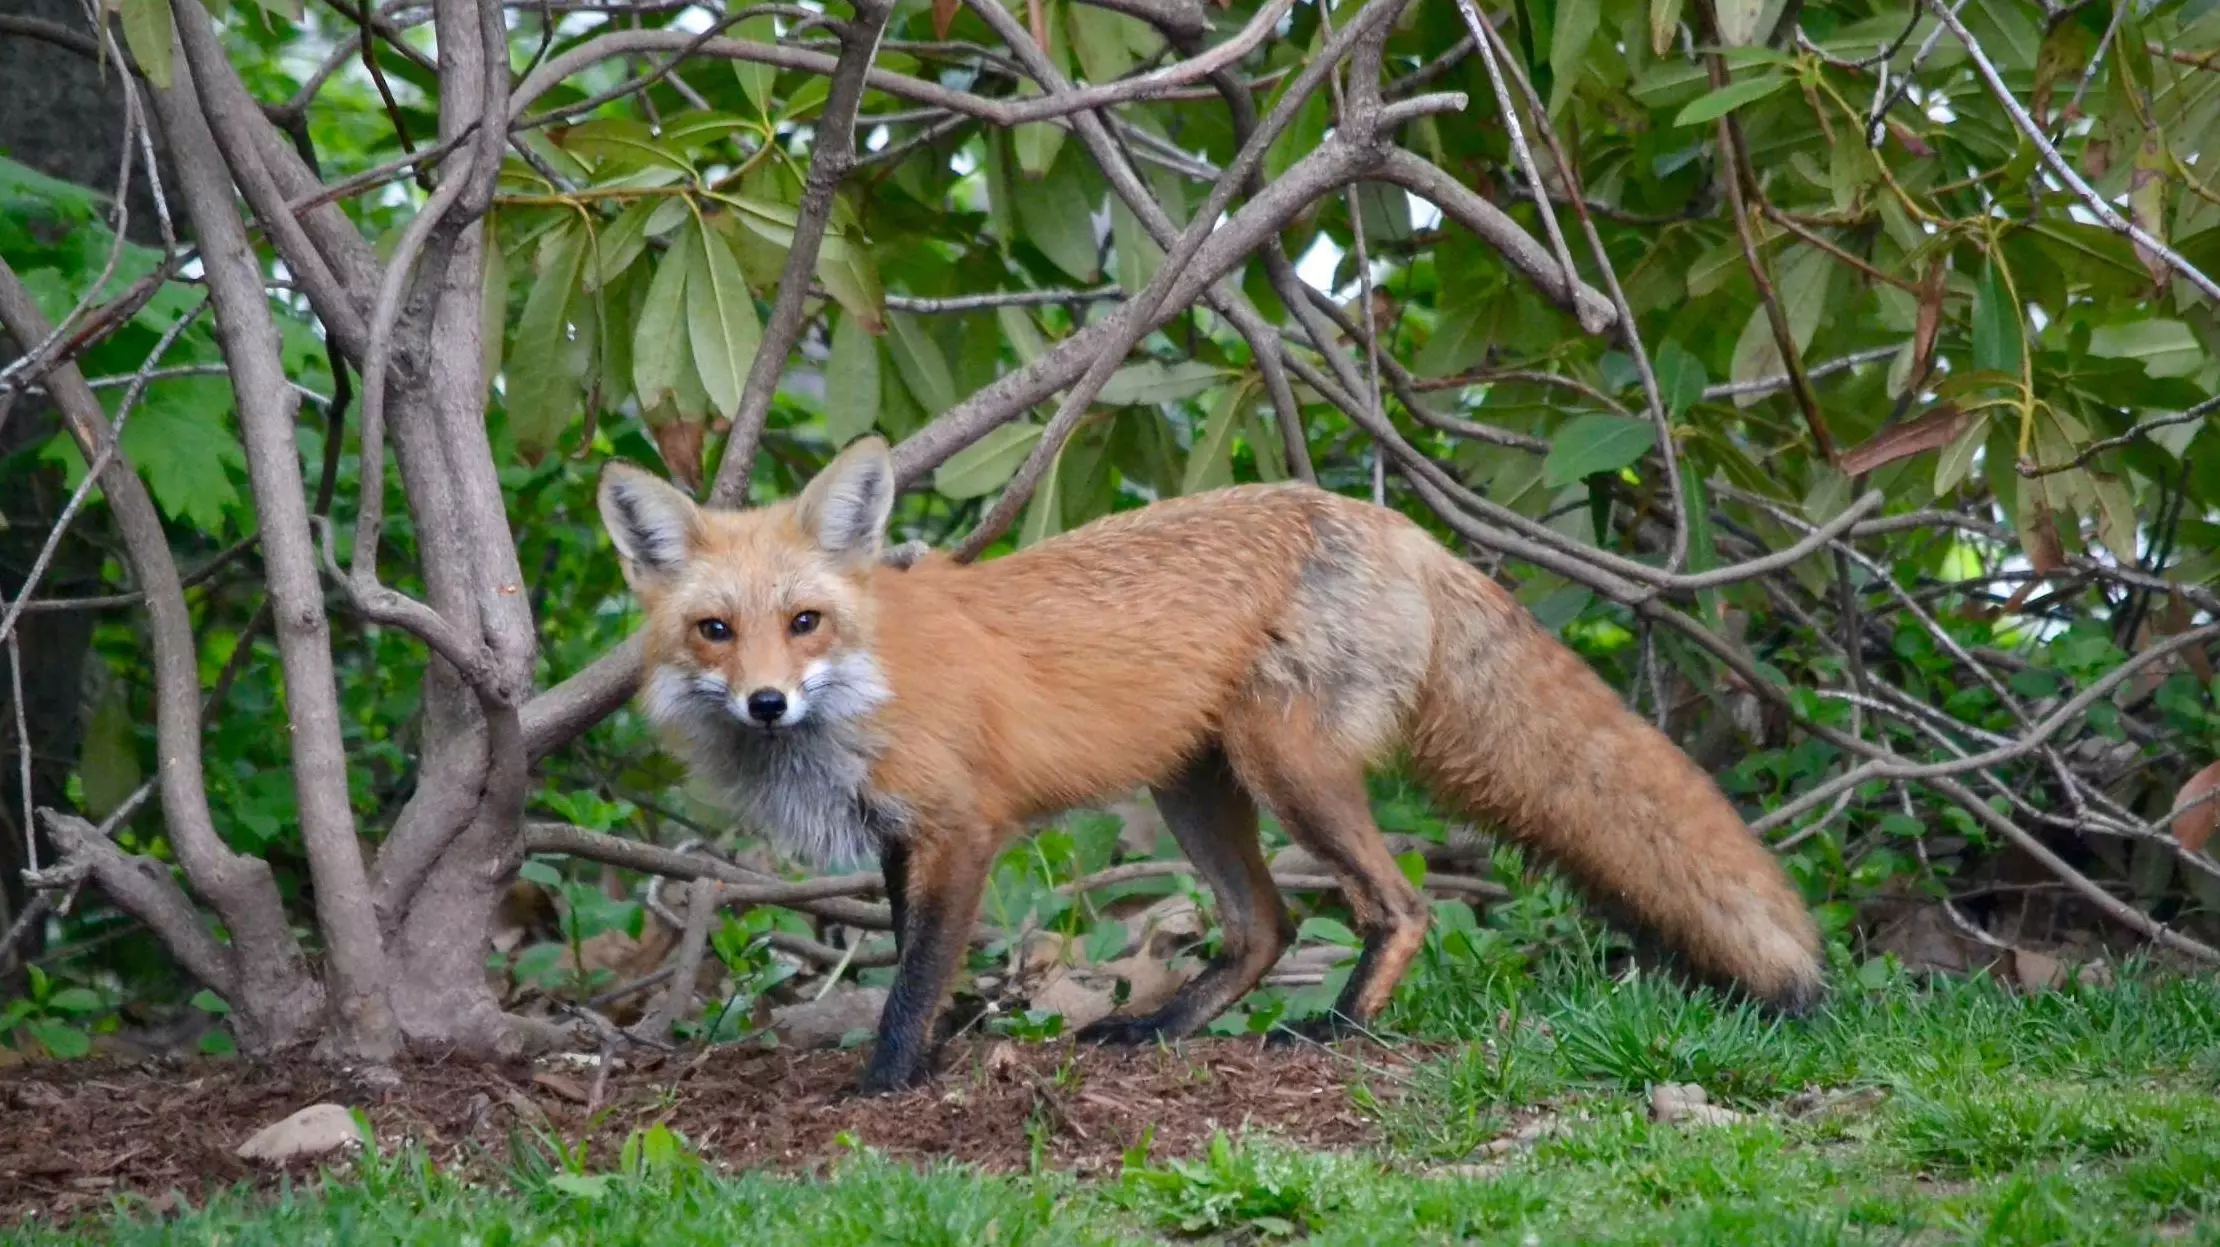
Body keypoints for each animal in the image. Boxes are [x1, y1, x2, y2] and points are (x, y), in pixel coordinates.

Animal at [594, 434, 1820, 1087]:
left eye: (803, 622)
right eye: (715, 630)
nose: (765, 701)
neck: (872, 679)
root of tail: (1400, 526)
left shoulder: (961, 829)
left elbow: (912, 979)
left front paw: (888, 1084)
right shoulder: (903, 841)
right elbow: (918, 965)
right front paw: (934, 1061)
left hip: (1291, 771)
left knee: (1400, 904)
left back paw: (1335, 1026)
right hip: (1193, 785)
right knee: (1266, 925)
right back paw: (1157, 1028)